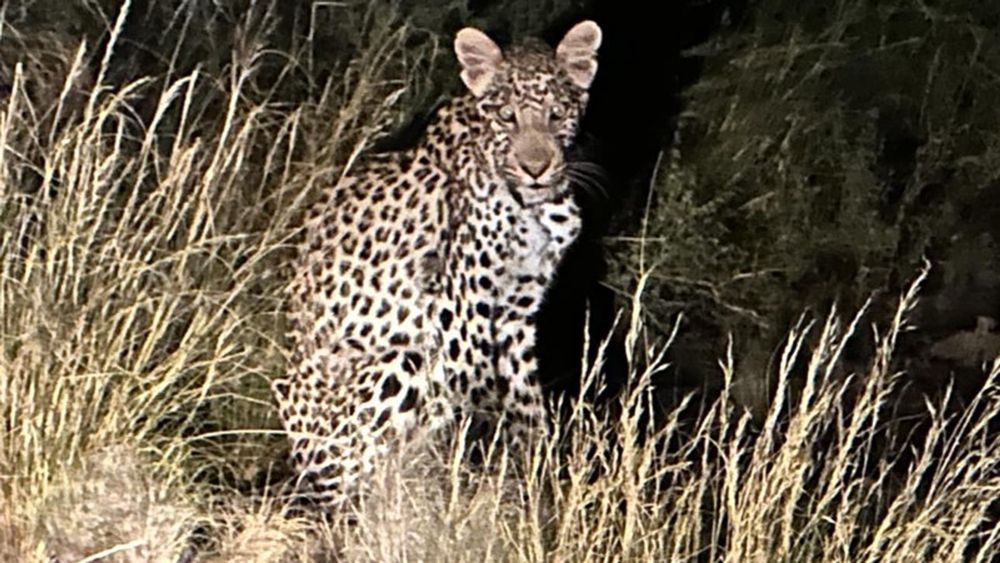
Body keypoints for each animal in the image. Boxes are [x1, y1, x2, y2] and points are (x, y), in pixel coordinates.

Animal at [271, 20, 602, 508]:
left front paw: (538, 484)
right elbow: (475, 407)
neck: (536, 206)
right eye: (507, 117)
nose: (536, 167)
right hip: (400, 360)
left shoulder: (515, 315)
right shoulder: (463, 319)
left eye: (557, 115)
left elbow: (526, 406)